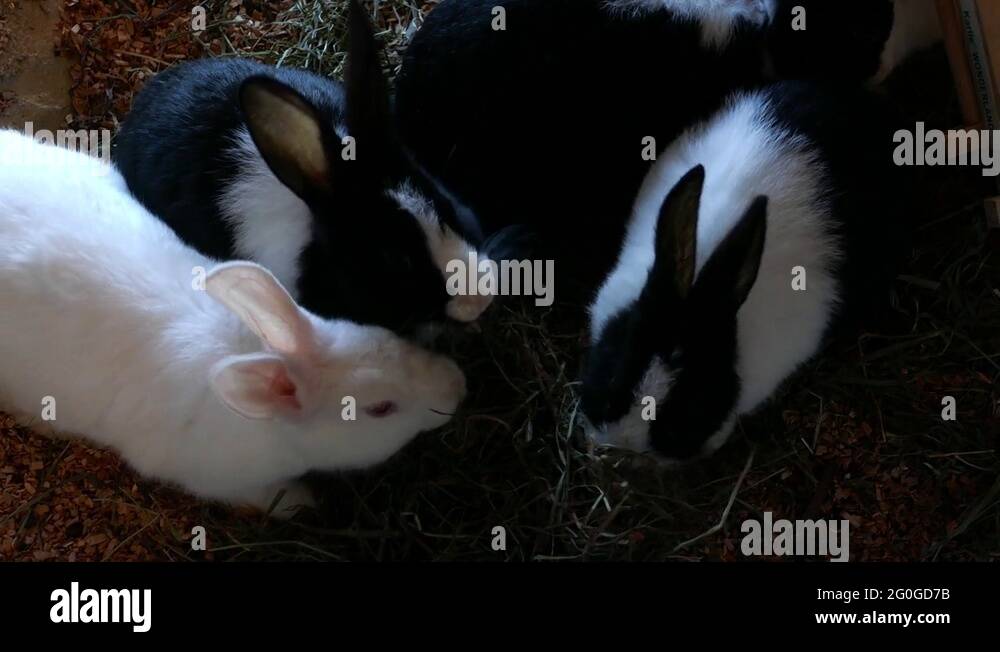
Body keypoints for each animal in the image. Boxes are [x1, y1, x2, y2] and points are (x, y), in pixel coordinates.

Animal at [0, 129, 467, 516]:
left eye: (386, 338)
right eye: (380, 408)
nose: (457, 388)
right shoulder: (219, 481)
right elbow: (271, 499)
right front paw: (304, 501)